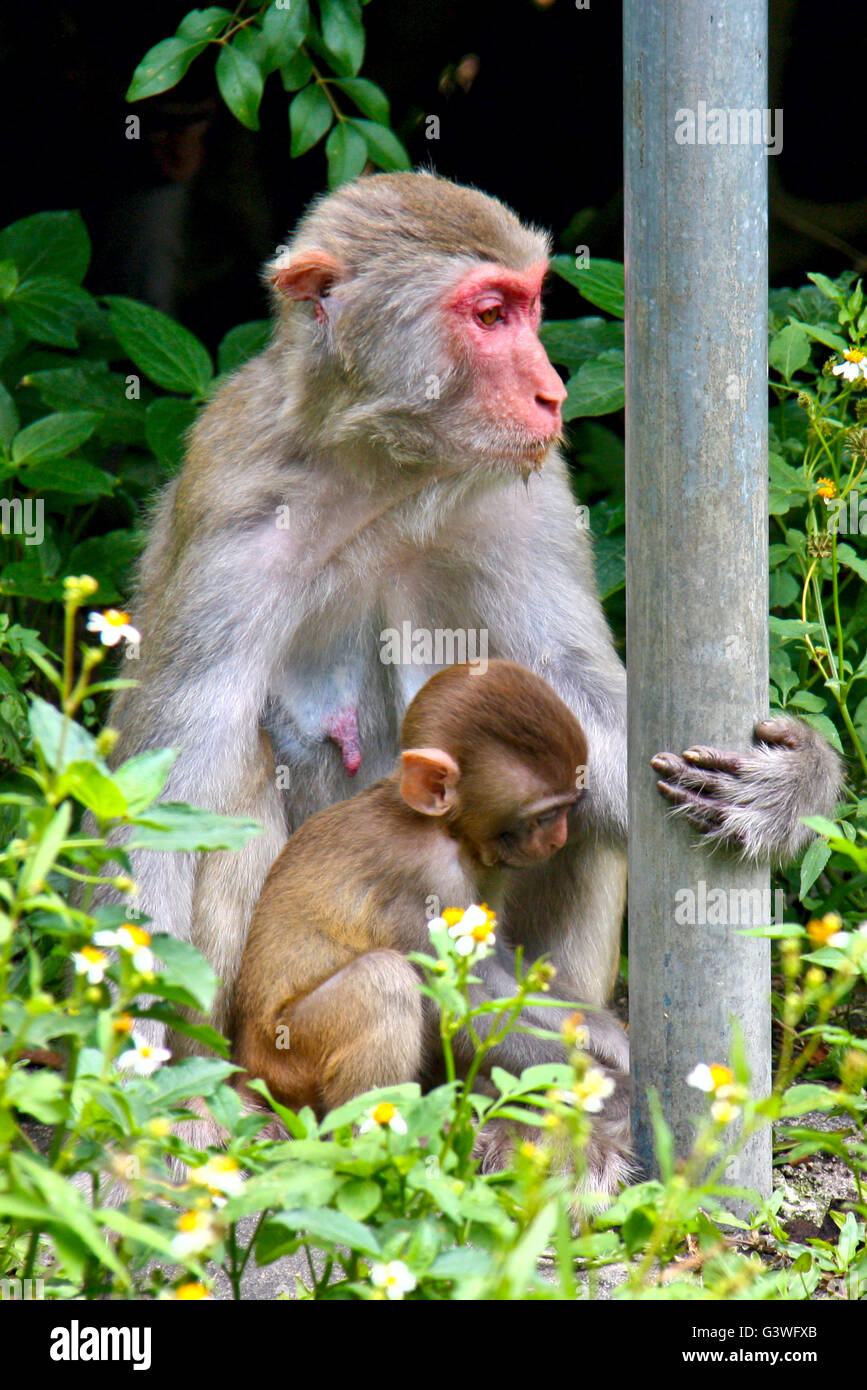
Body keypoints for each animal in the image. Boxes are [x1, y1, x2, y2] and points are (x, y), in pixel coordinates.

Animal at [233, 660, 630, 1189]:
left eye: (567, 808)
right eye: (546, 815)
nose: (560, 838)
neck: (440, 827)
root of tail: (244, 1068)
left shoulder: (487, 866)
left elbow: (492, 973)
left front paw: (606, 1037)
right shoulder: (426, 880)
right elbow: (455, 1014)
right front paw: (617, 1088)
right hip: (285, 1062)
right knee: (384, 980)